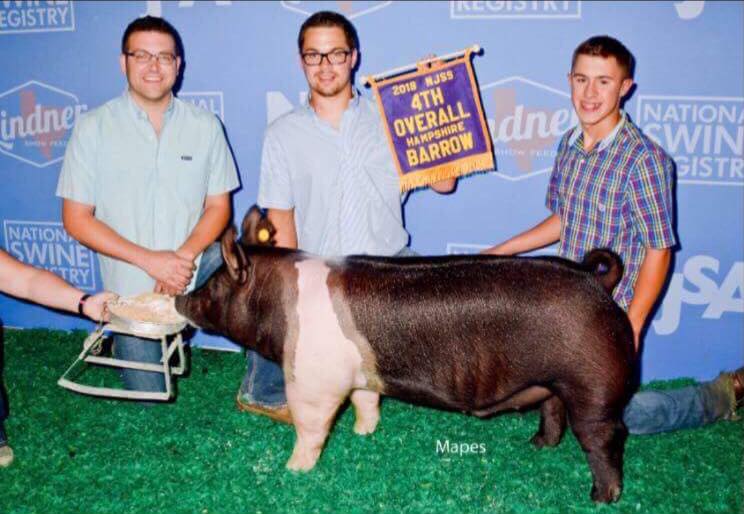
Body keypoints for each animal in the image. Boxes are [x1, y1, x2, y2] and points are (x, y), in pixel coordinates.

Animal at [175, 207, 636, 503]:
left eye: (214, 286)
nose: (181, 299)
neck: (278, 302)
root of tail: (596, 282)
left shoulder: (311, 380)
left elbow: (311, 426)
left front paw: (294, 470)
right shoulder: (361, 374)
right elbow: (366, 400)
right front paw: (364, 433)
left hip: (593, 387)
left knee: (605, 437)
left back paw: (601, 498)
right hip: (555, 382)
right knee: (553, 410)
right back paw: (537, 445)